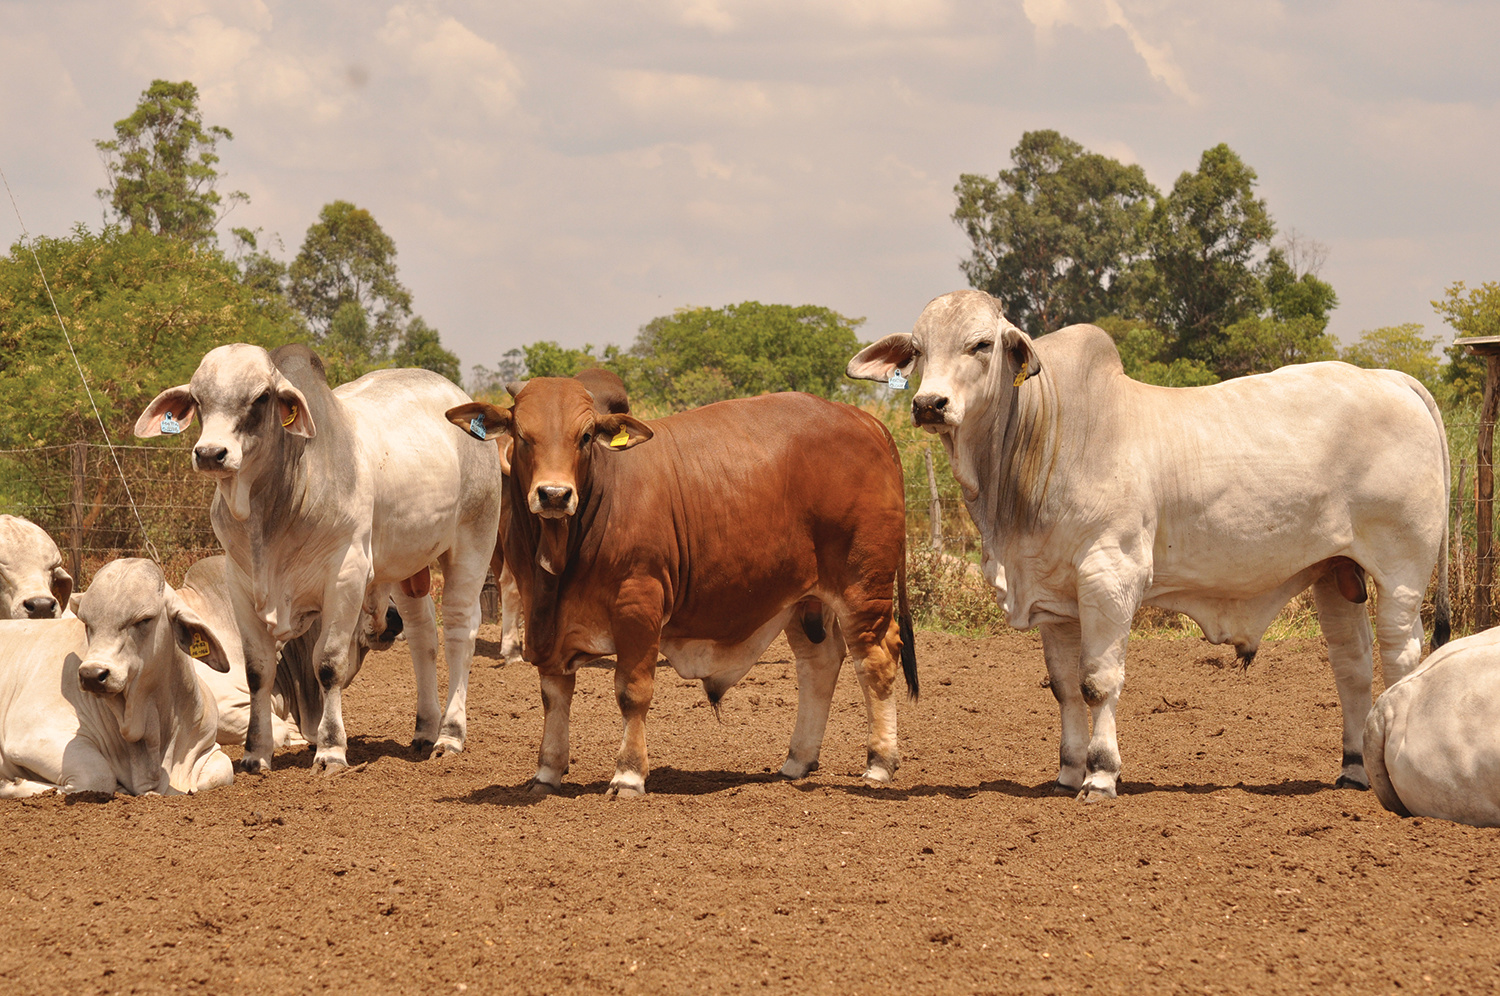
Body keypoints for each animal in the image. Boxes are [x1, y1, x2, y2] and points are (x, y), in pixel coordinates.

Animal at [0, 558, 234, 797]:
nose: (92, 675)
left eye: (144, 620)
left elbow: (224, 770)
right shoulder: (30, 737)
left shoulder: (207, 745)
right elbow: (98, 777)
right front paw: (14, 784)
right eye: (87, 623)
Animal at [134, 343, 502, 773]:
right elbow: (258, 671)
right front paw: (255, 753)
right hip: (406, 563)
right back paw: (425, 730)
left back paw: (450, 735)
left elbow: (327, 664)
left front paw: (330, 749)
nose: (210, 453)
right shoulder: (241, 582)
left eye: (261, 398)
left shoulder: (346, 576)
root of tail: (460, 398)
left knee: (460, 629)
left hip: (473, 541)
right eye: (197, 399)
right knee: (422, 630)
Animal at [445, 380, 917, 797]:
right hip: (804, 598)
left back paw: (879, 763)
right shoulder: (546, 620)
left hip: (863, 586)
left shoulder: (639, 604)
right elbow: (554, 696)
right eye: (523, 435)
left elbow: (632, 692)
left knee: (876, 660)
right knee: (818, 663)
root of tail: (866, 420)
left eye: (584, 437)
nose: (555, 495)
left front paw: (628, 775)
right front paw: (546, 772)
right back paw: (797, 760)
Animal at [847, 289, 1449, 801]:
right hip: (1335, 571)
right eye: (919, 351)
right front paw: (1066, 774)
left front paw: (1100, 775)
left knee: (1400, 655)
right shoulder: (1054, 597)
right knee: (1352, 664)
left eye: (981, 344)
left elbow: (1097, 682)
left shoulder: (1109, 575)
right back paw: (1353, 769)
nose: (929, 404)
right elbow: (1064, 688)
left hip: (1400, 570)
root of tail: (1394, 379)